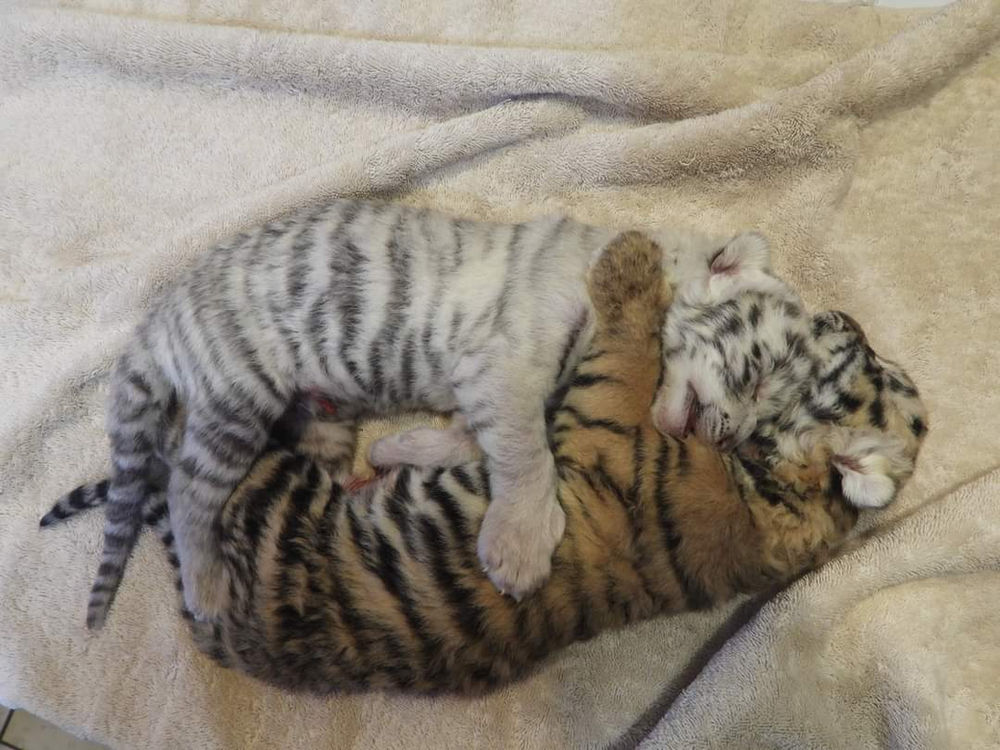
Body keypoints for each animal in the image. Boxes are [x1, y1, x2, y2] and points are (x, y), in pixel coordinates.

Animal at [42, 231, 927, 694]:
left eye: (762, 423)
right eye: (758, 376)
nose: (717, 432)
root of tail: (158, 325)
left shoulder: (505, 393)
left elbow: (491, 443)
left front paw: (406, 450)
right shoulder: (503, 365)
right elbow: (522, 451)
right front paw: (520, 545)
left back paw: (341, 444)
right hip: (234, 393)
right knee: (189, 487)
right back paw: (209, 576)